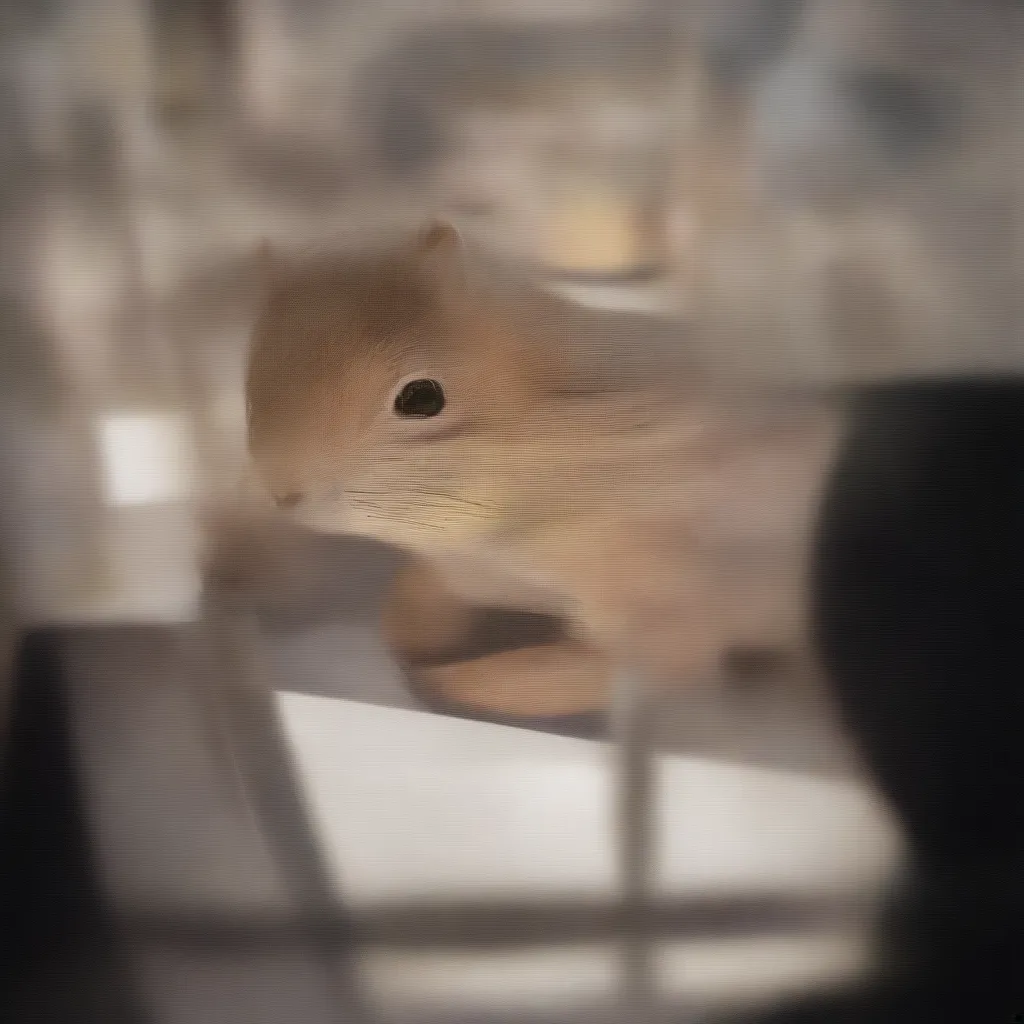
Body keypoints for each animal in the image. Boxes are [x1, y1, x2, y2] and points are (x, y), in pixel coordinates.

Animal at [242, 220, 842, 722]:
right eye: (250, 375)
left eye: (421, 397)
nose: (283, 493)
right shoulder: (467, 571)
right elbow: (417, 603)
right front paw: (413, 648)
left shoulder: (653, 587)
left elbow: (637, 666)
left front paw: (452, 684)